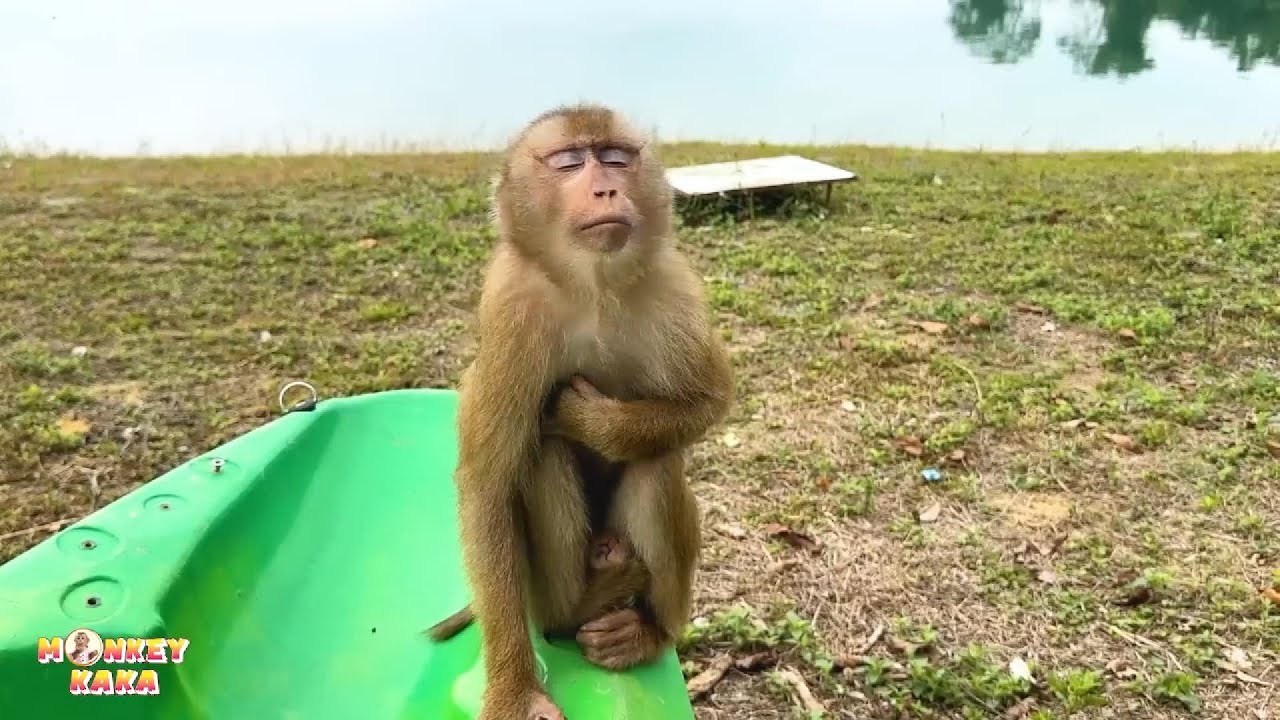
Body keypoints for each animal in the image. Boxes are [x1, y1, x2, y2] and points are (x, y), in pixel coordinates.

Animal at [450, 102, 733, 720]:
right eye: (569, 163)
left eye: (615, 158)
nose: (606, 188)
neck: (593, 288)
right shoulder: (512, 311)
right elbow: (488, 485)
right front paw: (514, 690)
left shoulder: (673, 287)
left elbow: (706, 403)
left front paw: (590, 421)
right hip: (541, 593)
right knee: (539, 456)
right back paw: (581, 605)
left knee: (658, 462)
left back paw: (648, 631)